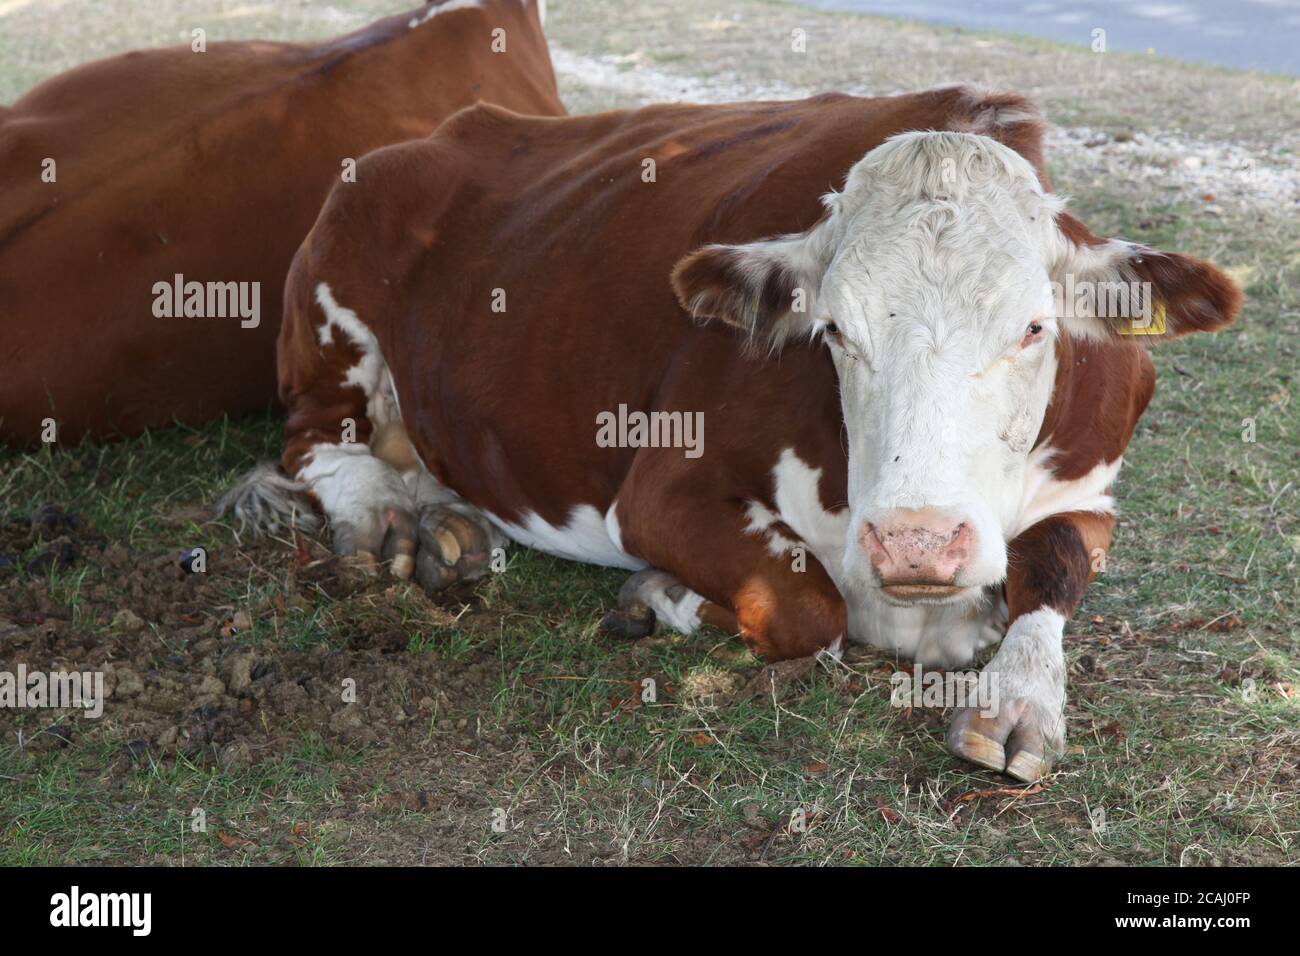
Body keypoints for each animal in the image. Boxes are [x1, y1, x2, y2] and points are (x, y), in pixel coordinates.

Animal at [220, 87, 1241, 780]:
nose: (916, 543)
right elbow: (813, 606)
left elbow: (1054, 569)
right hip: (329, 312)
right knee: (314, 442)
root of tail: (437, 133)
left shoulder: (1094, 490)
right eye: (834, 331)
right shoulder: (662, 490)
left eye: (1033, 327)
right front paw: (665, 593)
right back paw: (386, 519)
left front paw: (1020, 696)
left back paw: (448, 523)